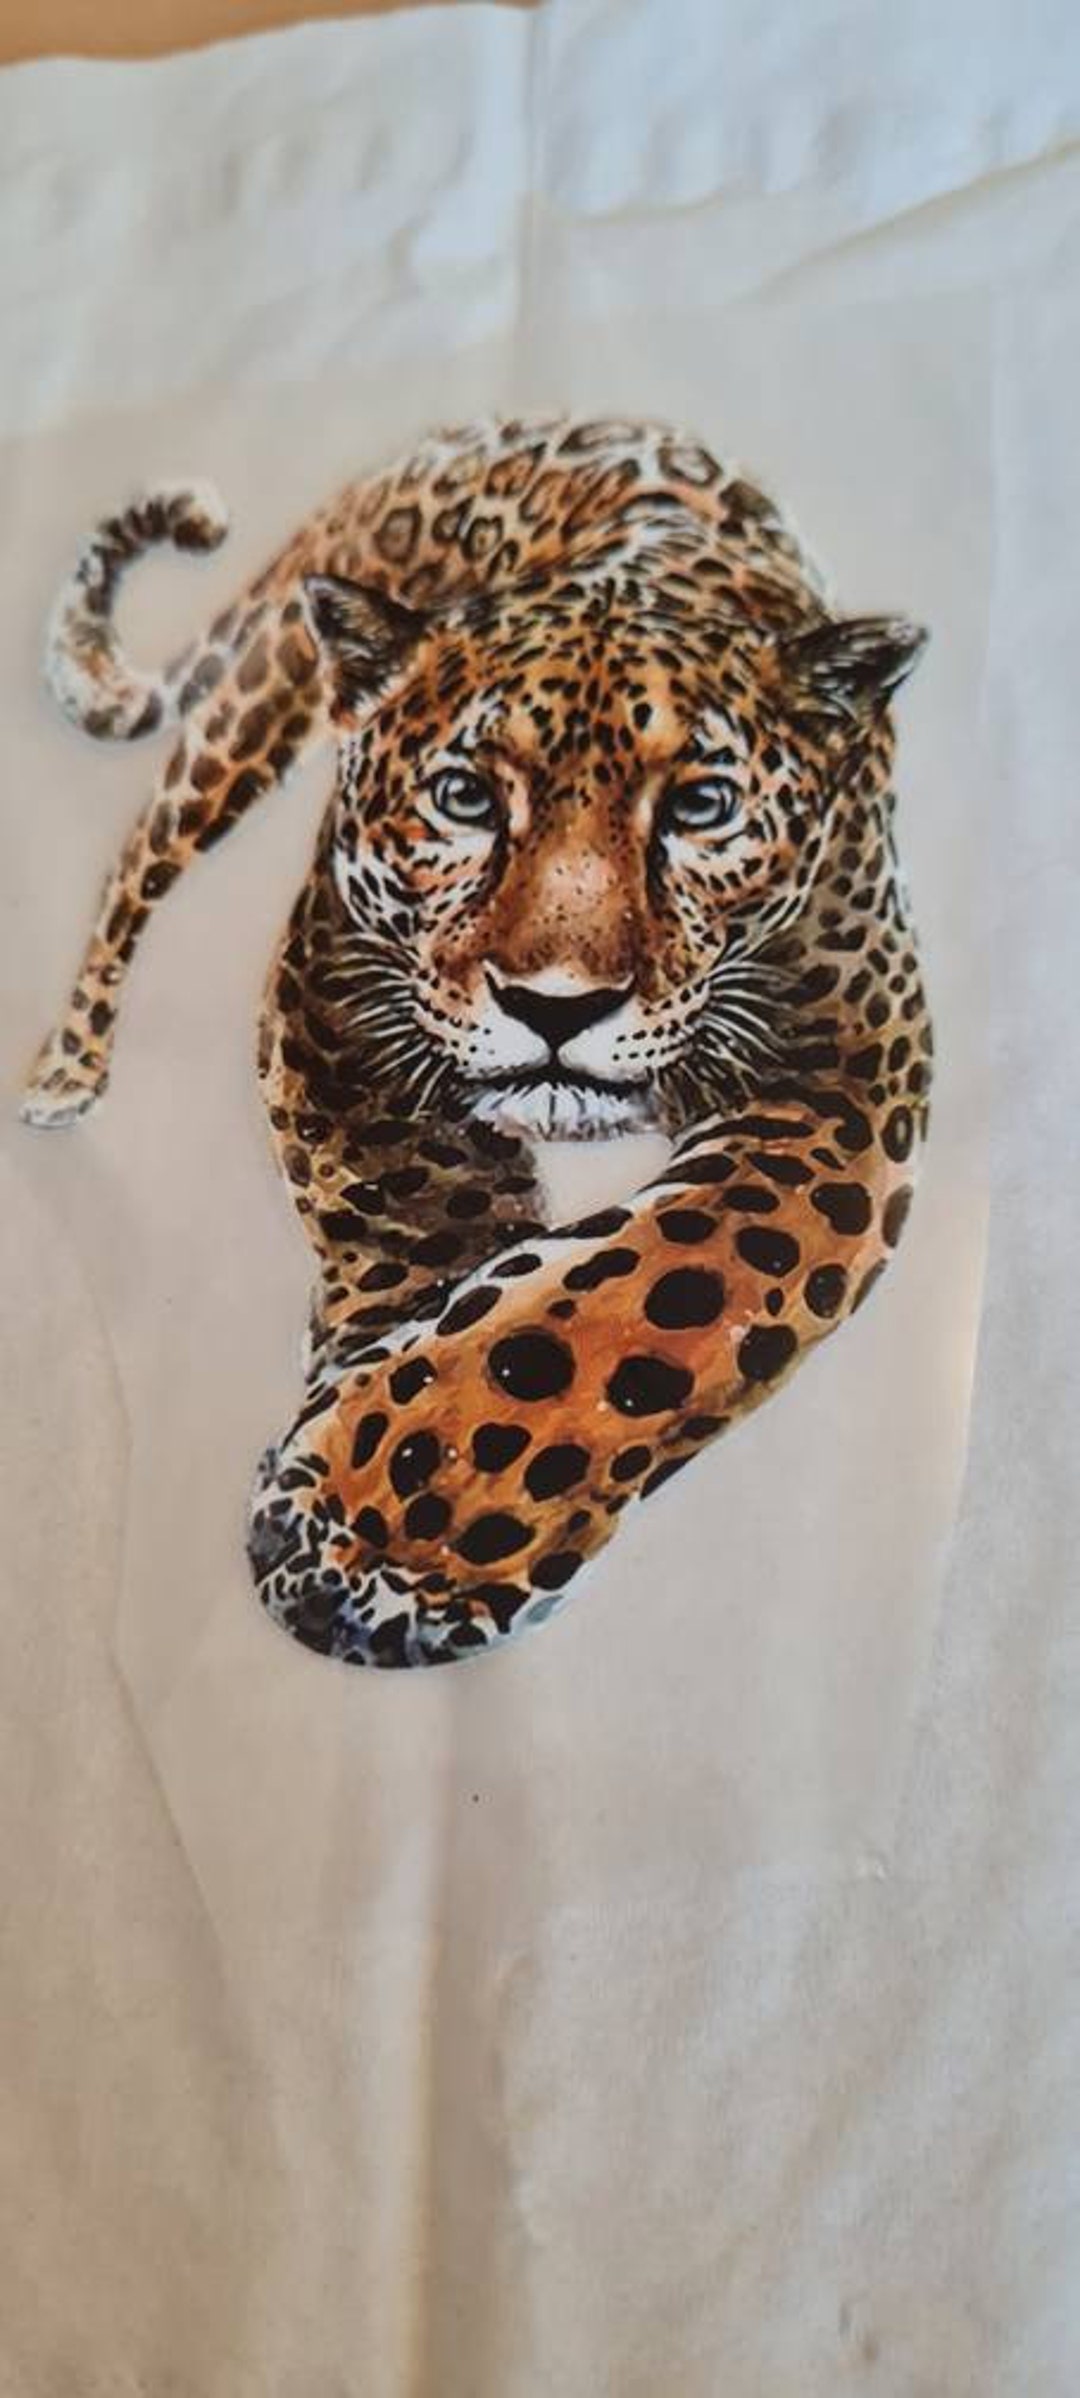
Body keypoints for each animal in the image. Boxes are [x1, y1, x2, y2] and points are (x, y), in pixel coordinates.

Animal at [21, 414, 933, 1667]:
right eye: (463, 796)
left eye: (701, 808)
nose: (556, 1004)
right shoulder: (340, 987)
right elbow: (424, 1207)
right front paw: (381, 1501)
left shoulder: (846, 1078)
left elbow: (650, 1293)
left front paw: (390, 1535)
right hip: (254, 710)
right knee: (139, 857)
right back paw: (66, 1069)